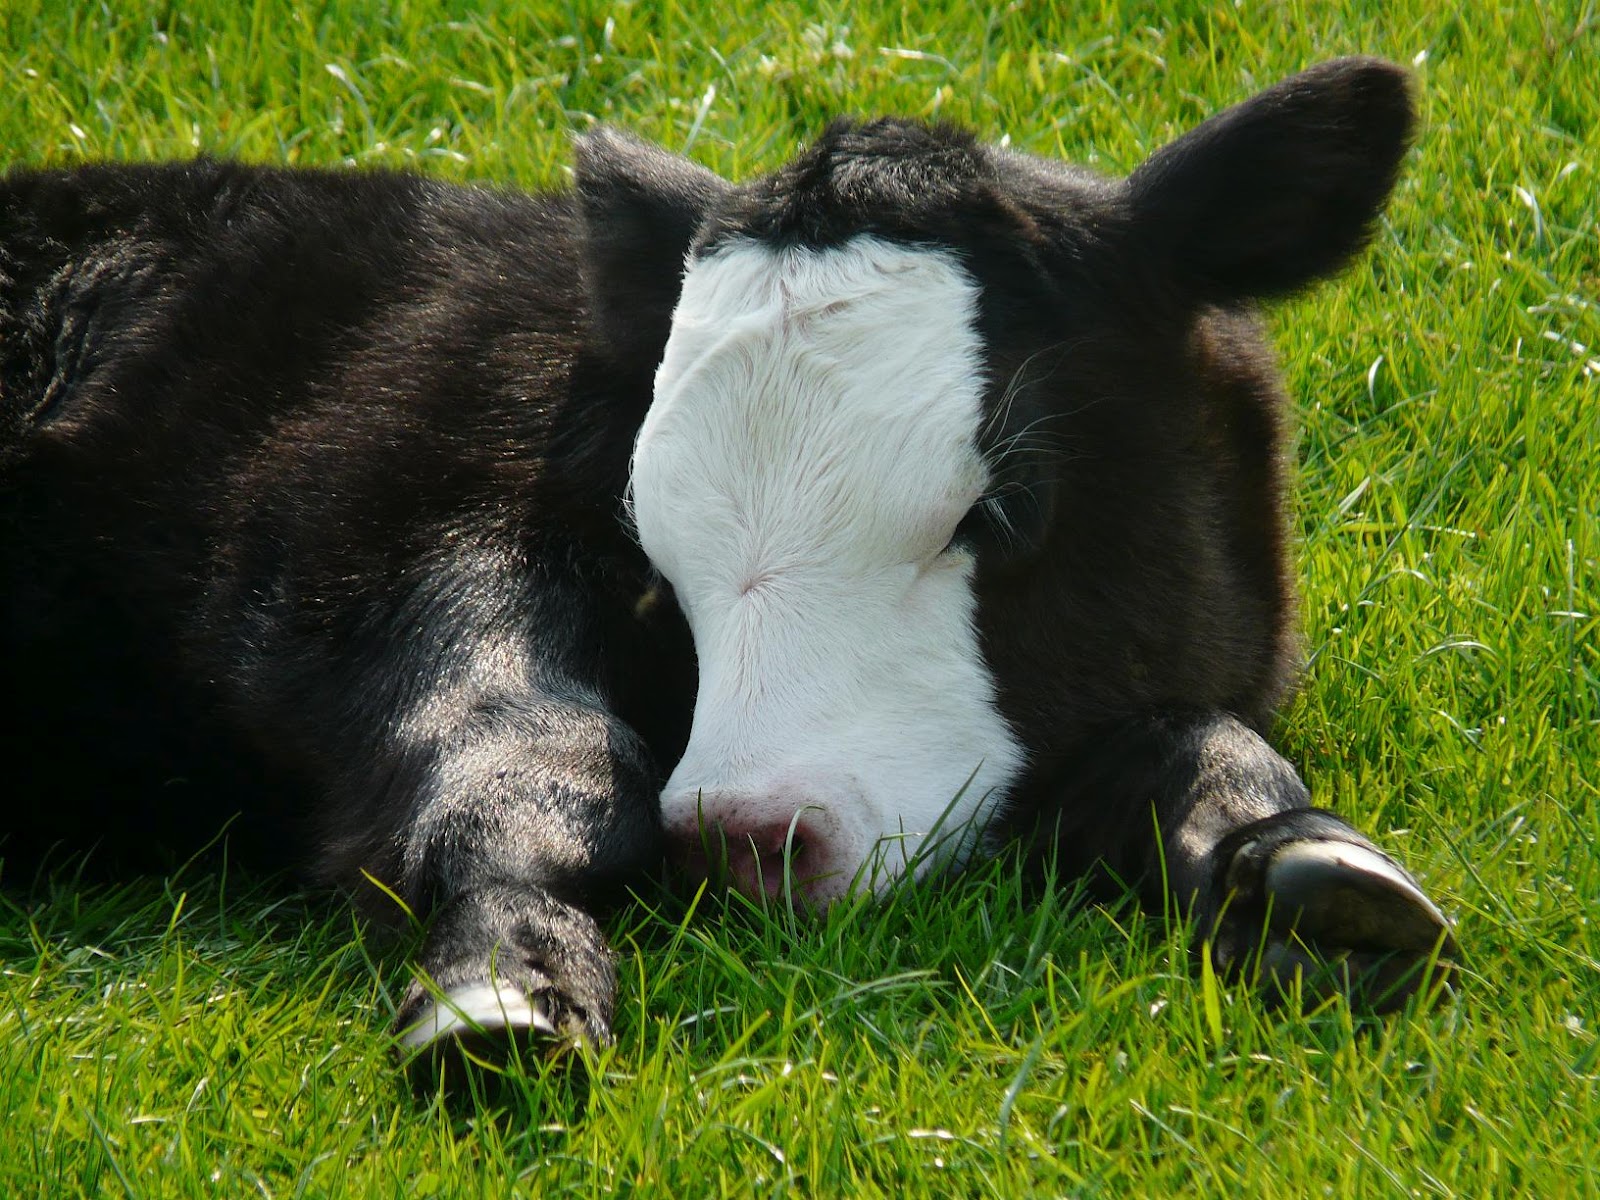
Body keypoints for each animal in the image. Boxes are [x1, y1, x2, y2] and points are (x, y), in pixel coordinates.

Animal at [0, 57, 1454, 1065]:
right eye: (656, 544)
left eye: (997, 513)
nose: (750, 835)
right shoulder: (371, 544)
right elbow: (533, 748)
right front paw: (506, 979)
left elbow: (1191, 739)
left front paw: (1312, 873)